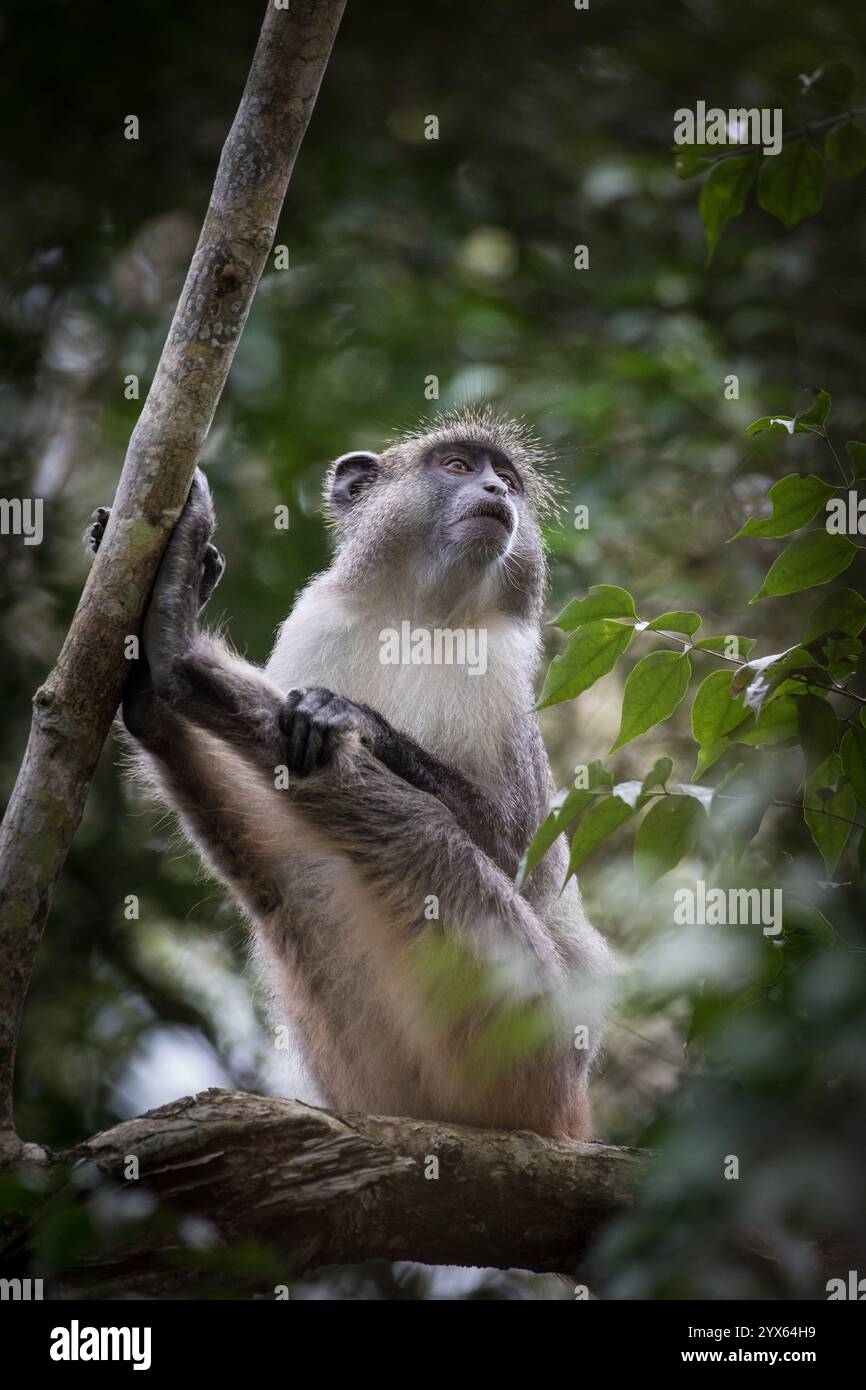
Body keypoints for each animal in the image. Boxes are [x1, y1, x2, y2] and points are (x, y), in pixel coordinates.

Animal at [87, 408, 612, 1140]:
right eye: (458, 467)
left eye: (504, 479)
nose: (495, 493)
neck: (418, 614)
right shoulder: (320, 622)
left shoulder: (503, 670)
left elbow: (514, 853)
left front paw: (355, 717)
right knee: (289, 880)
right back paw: (159, 684)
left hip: (536, 1044)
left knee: (416, 832)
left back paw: (177, 652)